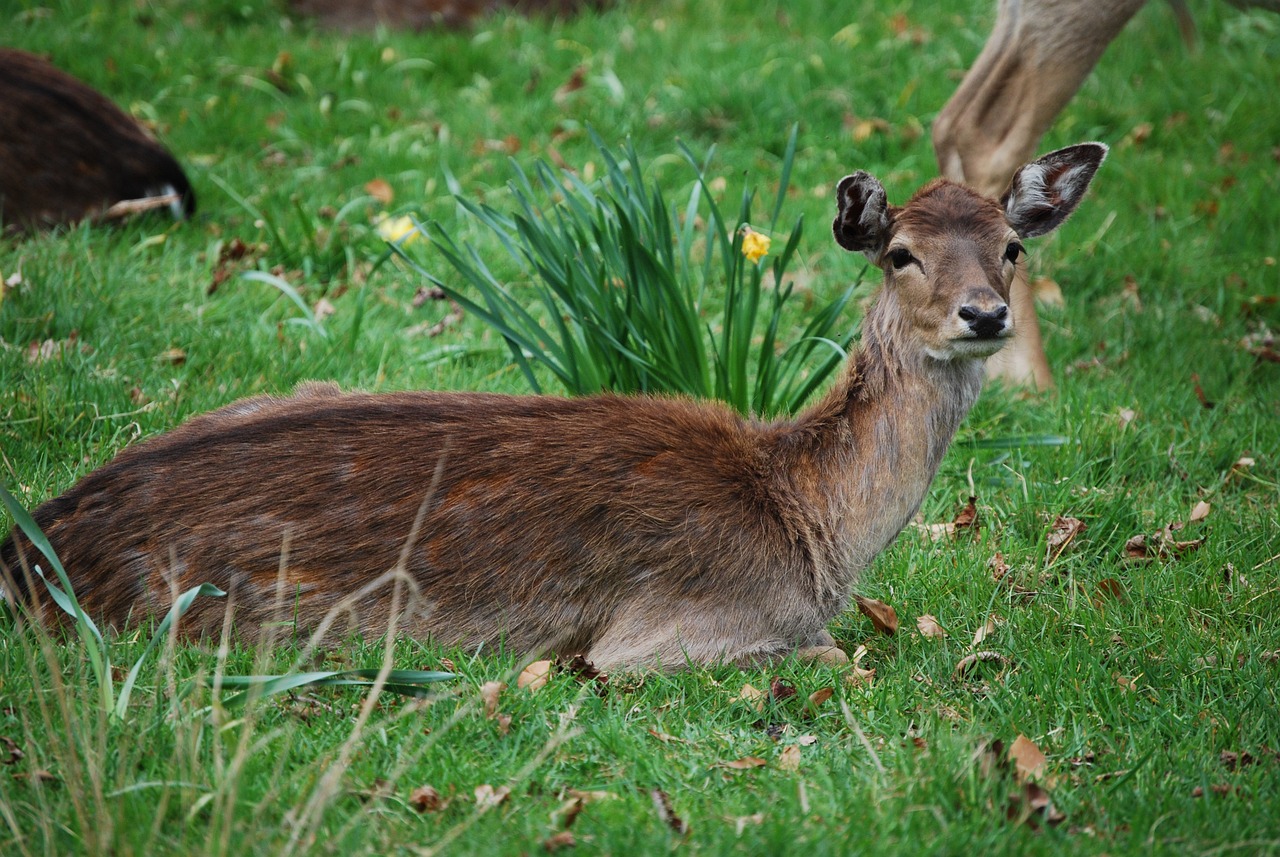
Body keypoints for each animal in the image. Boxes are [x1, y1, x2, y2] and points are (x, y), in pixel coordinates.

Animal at [0, 143, 1106, 671]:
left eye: (1012, 245)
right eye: (900, 252)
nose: (983, 312)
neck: (811, 526)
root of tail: (33, 549)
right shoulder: (671, 628)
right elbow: (833, 655)